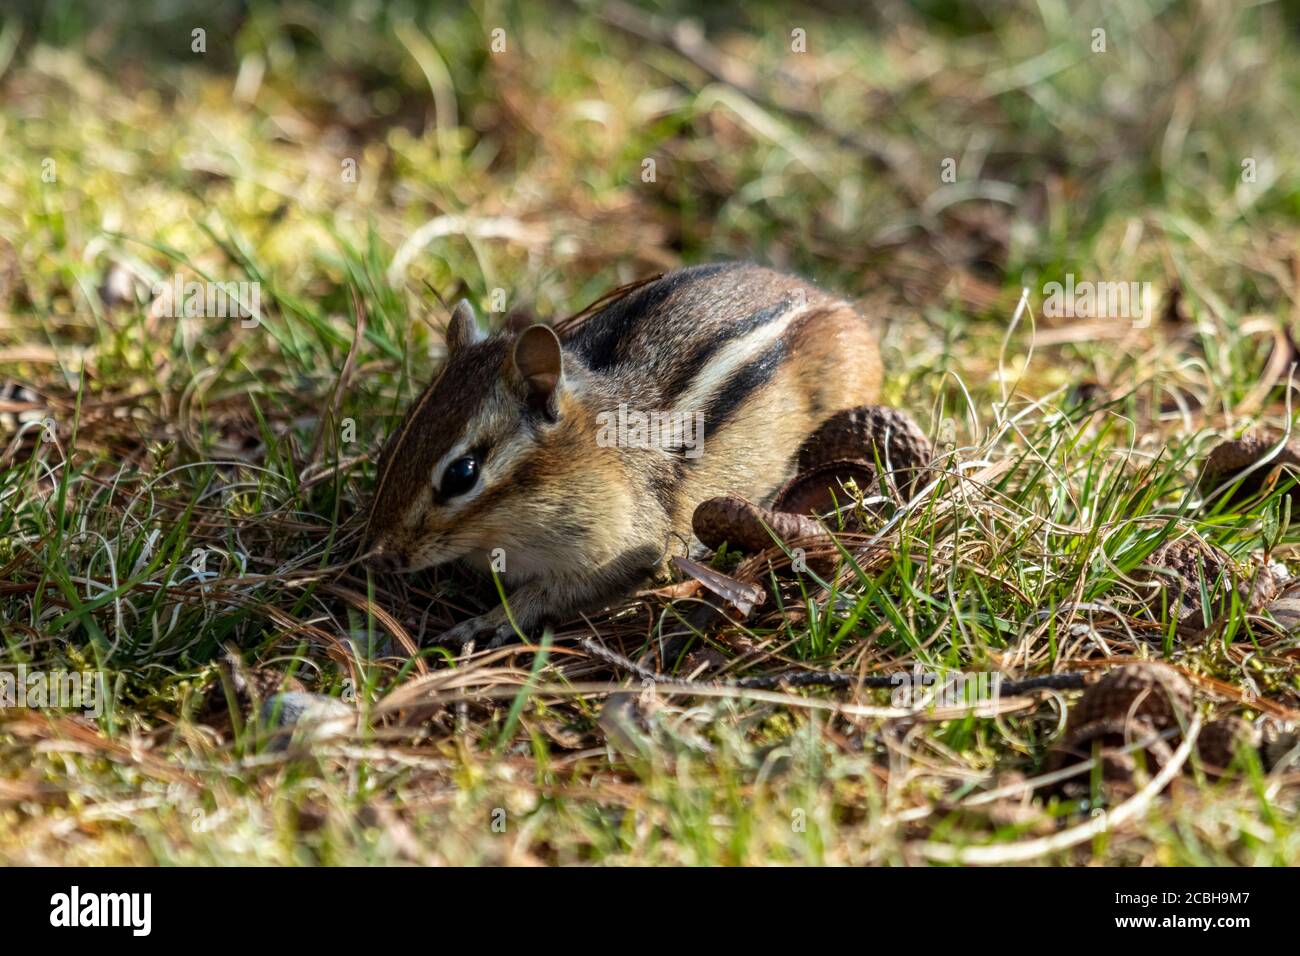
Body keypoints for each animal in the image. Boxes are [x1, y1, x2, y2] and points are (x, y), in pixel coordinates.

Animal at [364, 261, 881, 648]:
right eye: (392, 445)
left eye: (462, 474)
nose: (378, 557)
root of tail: (841, 305)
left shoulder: (625, 550)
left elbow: (548, 595)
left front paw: (490, 620)